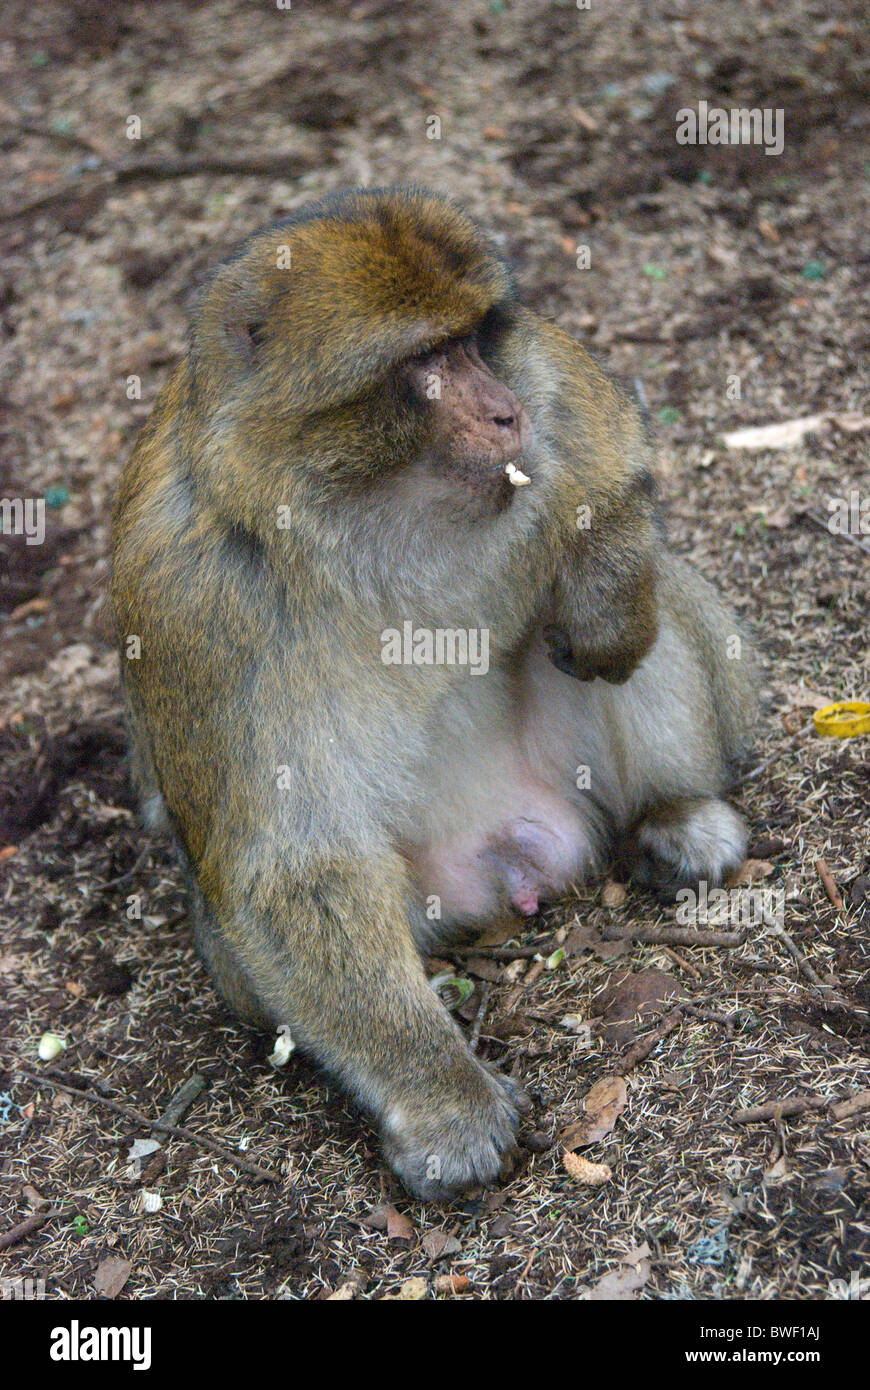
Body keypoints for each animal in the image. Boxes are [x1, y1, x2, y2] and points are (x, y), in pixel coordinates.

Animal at [111, 187, 756, 1200]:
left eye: (474, 341)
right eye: (423, 364)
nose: (501, 414)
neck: (368, 518)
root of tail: (509, 856)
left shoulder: (541, 380)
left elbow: (608, 450)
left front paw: (603, 584)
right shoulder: (190, 594)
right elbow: (297, 865)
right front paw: (444, 1098)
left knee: (633, 632)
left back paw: (678, 813)